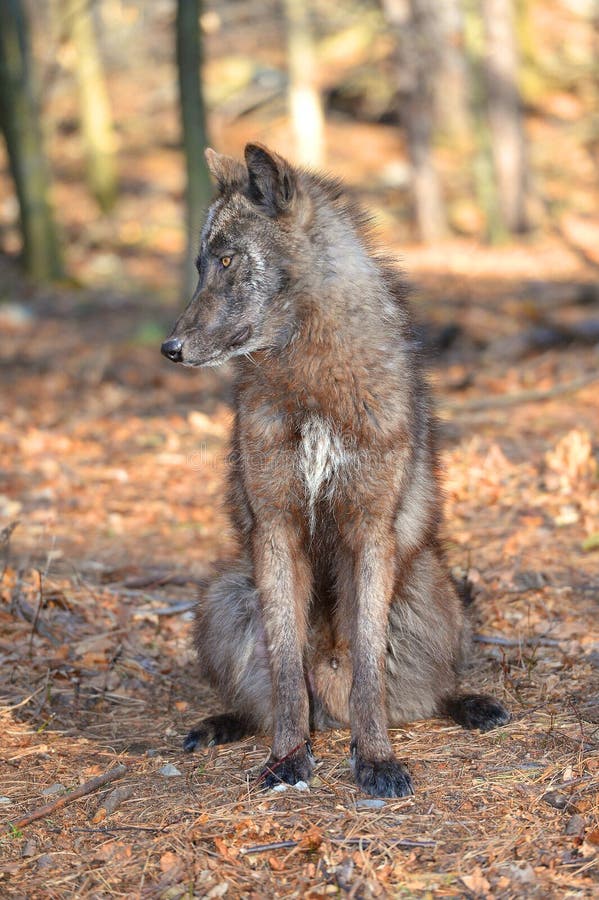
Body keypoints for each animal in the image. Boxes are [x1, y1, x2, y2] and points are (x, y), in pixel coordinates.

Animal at [161, 143, 510, 798]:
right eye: (198, 264)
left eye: (226, 259)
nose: (170, 349)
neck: (312, 379)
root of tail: (331, 708)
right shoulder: (275, 530)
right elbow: (284, 668)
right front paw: (288, 757)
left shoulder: (369, 532)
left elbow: (370, 665)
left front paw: (375, 759)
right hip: (224, 591)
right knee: (264, 695)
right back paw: (226, 723)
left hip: (433, 590)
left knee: (426, 693)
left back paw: (470, 704)